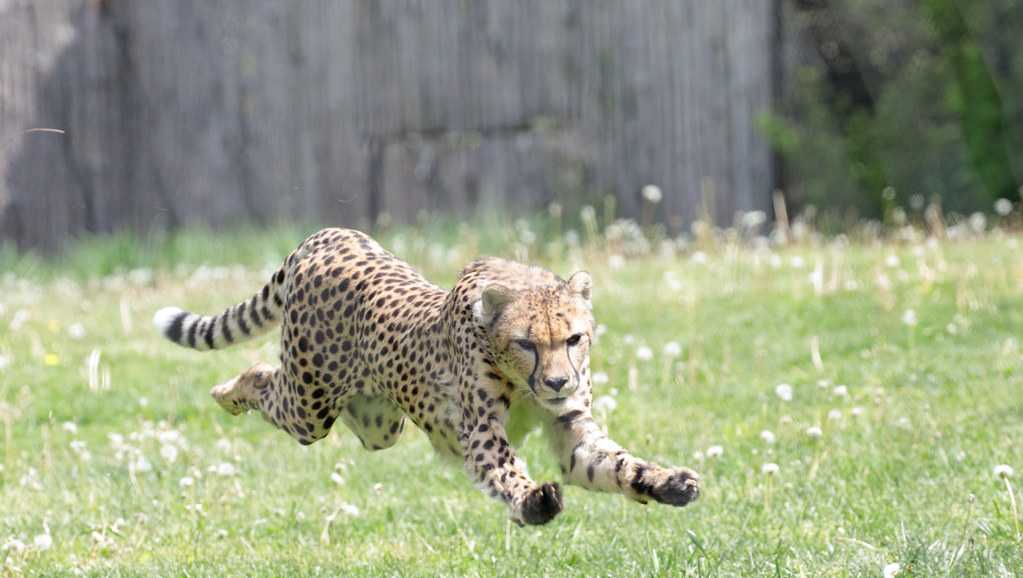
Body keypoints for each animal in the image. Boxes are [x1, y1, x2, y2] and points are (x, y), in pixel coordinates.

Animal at [153, 228, 699, 525]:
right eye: (526, 343)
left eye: (573, 339)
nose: (558, 383)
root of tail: (333, 235)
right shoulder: (482, 434)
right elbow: (506, 469)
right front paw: (531, 501)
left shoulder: (571, 429)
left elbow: (613, 462)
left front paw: (666, 481)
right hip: (311, 406)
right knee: (265, 379)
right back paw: (226, 392)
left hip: (378, 424)